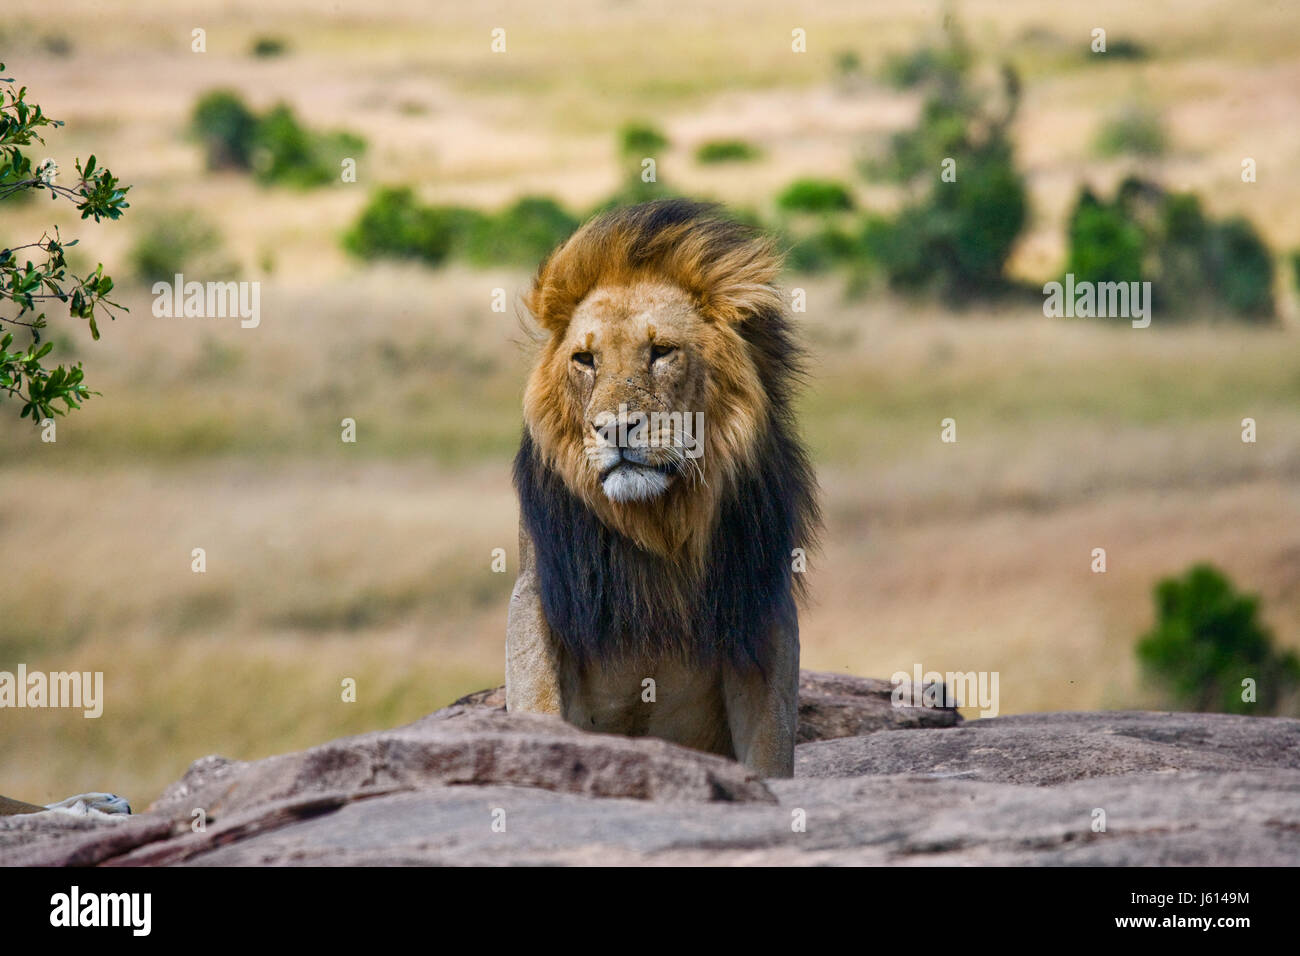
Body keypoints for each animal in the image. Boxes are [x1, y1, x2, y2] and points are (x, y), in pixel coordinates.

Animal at [507, 199, 820, 777]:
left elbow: (770, 746)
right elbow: (536, 701)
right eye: (585, 359)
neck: (659, 521)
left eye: (661, 351)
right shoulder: (538, 592)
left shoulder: (763, 613)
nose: (614, 428)